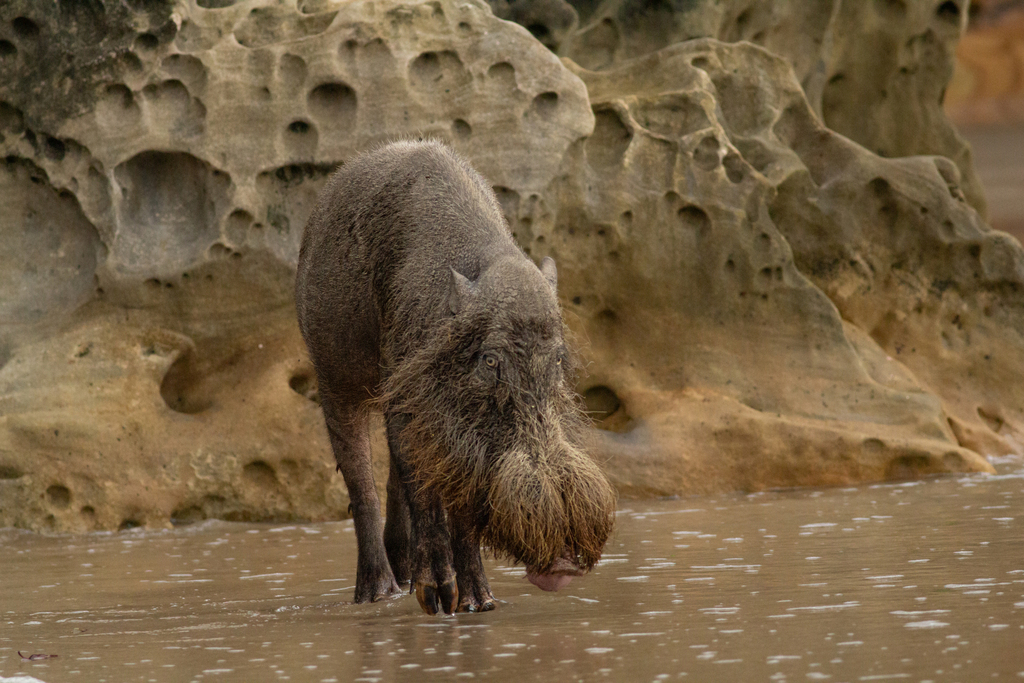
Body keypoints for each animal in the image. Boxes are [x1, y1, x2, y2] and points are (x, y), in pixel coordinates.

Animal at [295, 140, 615, 614]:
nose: (564, 564)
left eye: (558, 359)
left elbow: (461, 508)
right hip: (333, 373)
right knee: (363, 481)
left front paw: (479, 603)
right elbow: (423, 493)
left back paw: (406, 582)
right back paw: (379, 593)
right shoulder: (408, 402)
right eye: (490, 360)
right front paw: (437, 599)